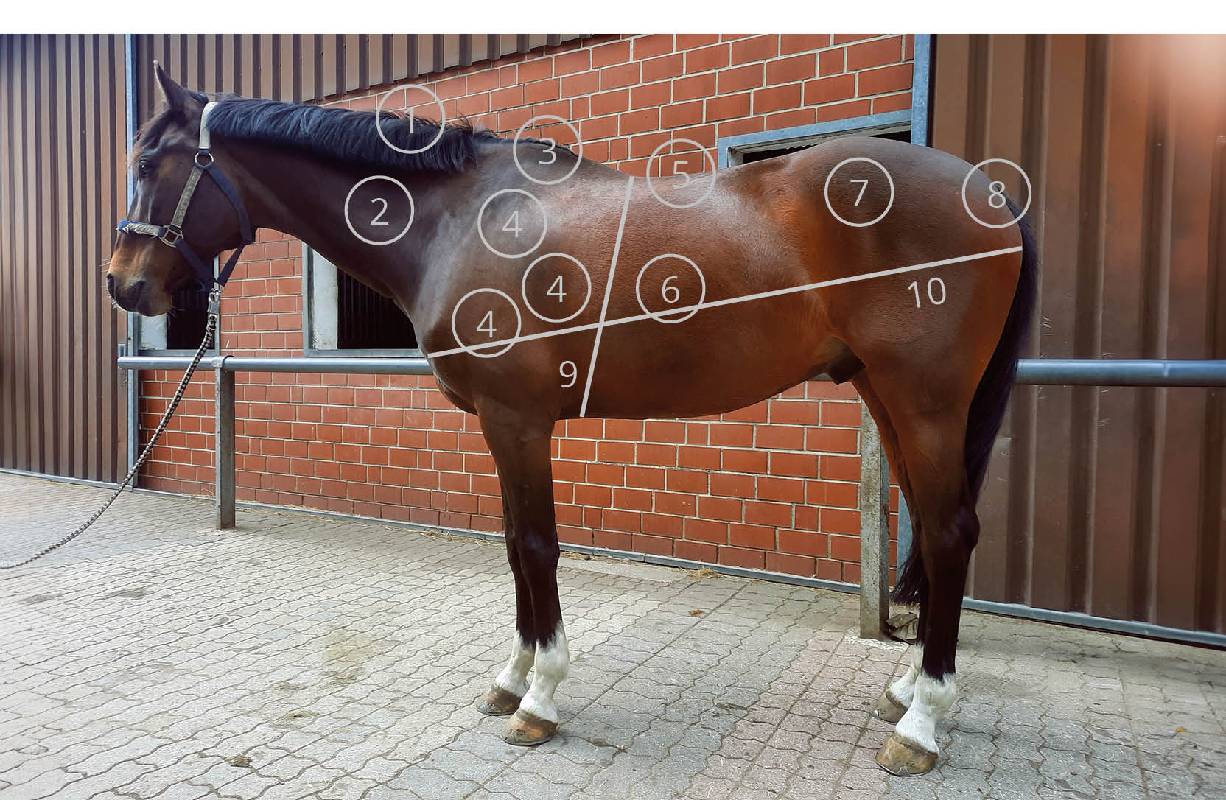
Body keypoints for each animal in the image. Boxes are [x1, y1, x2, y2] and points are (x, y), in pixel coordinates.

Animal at [106, 64, 1037, 776]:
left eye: (151, 161)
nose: (123, 284)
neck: (458, 218)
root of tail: (985, 192)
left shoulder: (516, 419)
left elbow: (534, 547)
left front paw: (542, 697)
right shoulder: (501, 424)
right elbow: (516, 549)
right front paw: (512, 679)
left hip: (925, 401)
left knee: (950, 534)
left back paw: (923, 725)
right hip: (888, 396)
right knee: (933, 534)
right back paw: (907, 691)